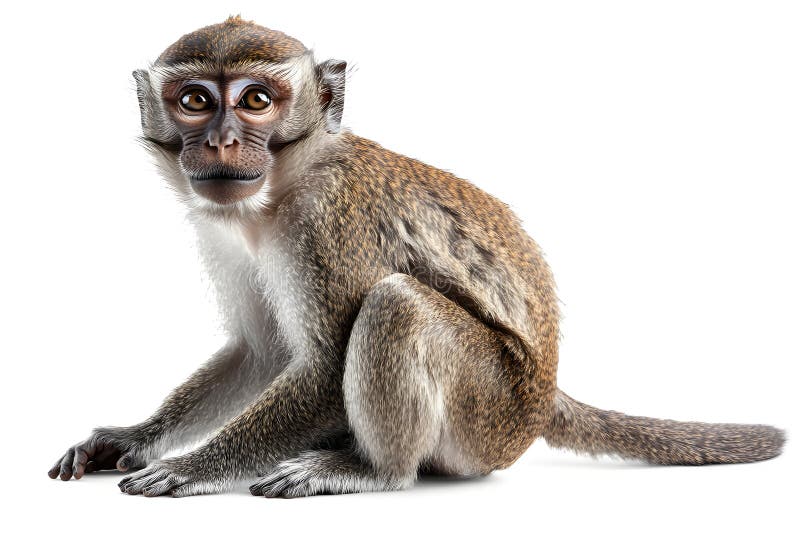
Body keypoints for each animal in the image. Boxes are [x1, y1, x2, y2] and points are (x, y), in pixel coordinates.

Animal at [48, 16, 784, 498]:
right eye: (195, 101)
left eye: (256, 100)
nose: (223, 141)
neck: (280, 195)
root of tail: (542, 395)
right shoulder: (222, 229)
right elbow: (260, 351)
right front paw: (134, 436)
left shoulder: (330, 223)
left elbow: (322, 369)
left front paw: (194, 466)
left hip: (489, 414)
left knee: (396, 304)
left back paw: (372, 471)